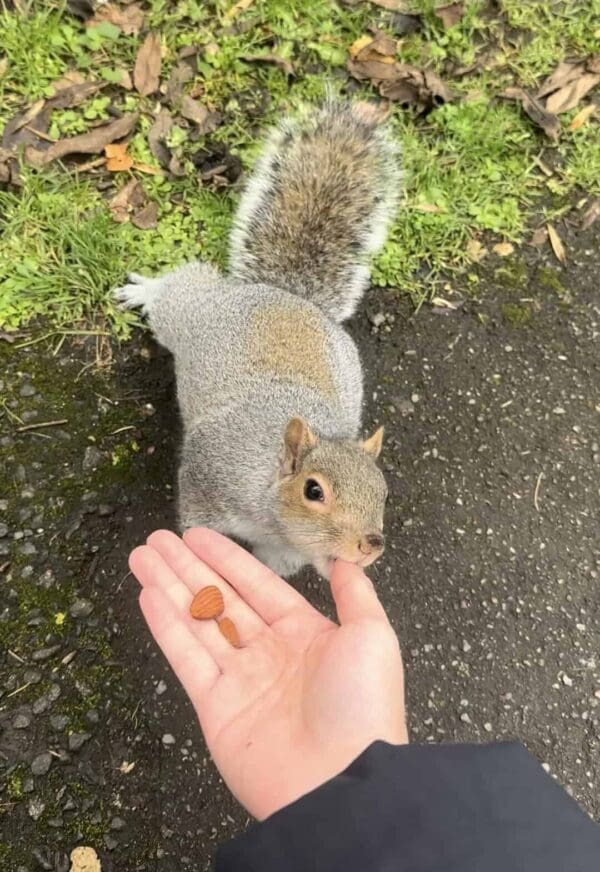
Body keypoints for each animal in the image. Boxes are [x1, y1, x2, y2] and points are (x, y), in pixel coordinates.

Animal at [115, 100, 401, 579]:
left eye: (383, 493)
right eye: (313, 491)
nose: (371, 545)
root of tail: (286, 294)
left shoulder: (284, 551)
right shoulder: (209, 479)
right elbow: (199, 525)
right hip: (187, 312)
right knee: (179, 291)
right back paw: (145, 291)